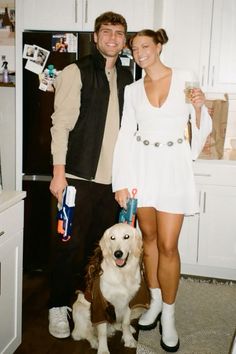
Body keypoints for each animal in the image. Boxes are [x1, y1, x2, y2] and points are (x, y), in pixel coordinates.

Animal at [72, 224, 149, 354]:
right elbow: (102, 332)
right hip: (81, 309)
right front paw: (103, 349)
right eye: (112, 238)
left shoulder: (129, 301)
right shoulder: (100, 305)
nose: (117, 254)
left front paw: (129, 339)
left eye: (126, 236)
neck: (122, 273)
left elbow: (126, 323)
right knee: (86, 333)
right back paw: (95, 342)